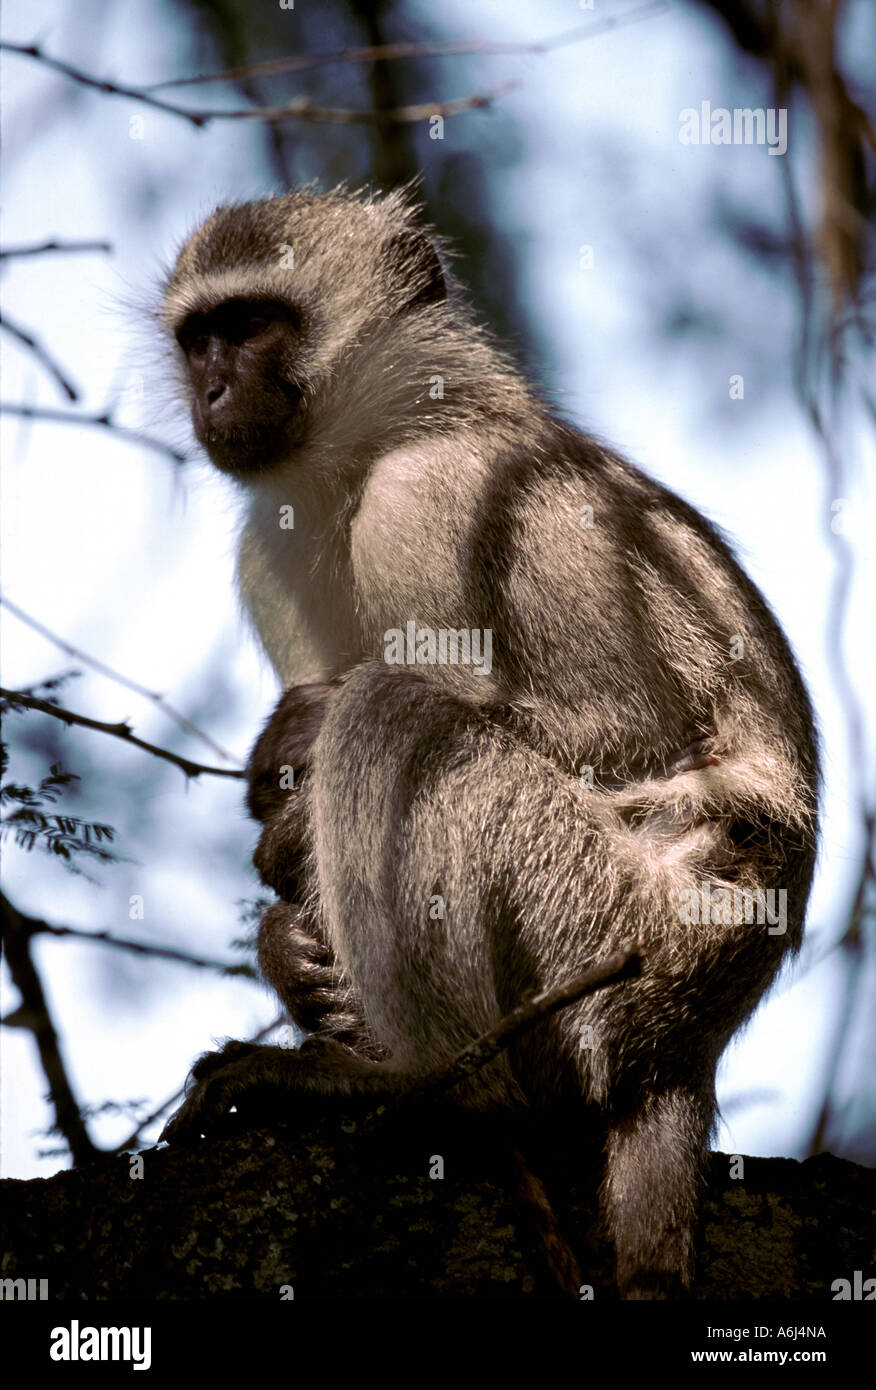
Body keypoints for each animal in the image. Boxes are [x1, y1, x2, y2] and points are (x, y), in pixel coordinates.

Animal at [157, 186, 819, 1299]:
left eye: (251, 326)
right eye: (199, 336)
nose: (210, 386)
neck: (373, 447)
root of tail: (687, 1041)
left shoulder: (429, 496)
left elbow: (624, 729)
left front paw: (300, 782)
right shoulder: (269, 547)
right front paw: (286, 944)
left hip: (602, 935)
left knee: (398, 716)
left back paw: (425, 1085)